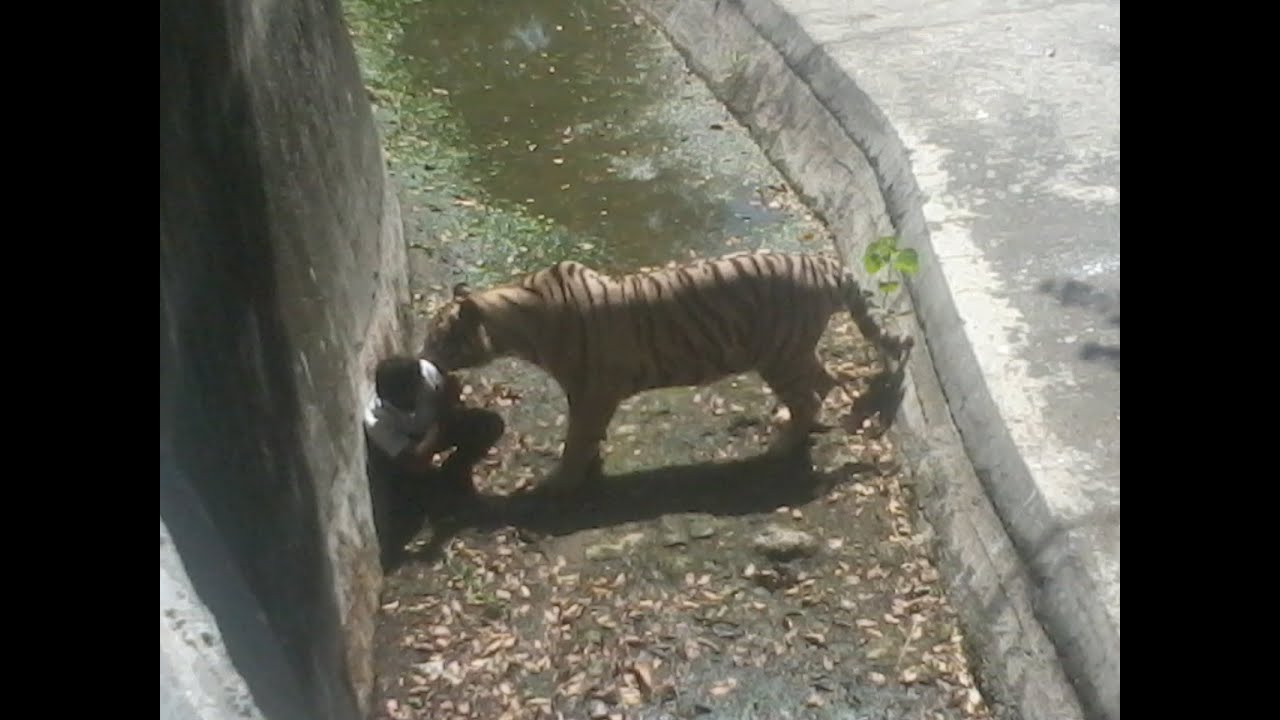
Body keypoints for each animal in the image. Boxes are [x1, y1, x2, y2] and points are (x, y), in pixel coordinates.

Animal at [420, 250, 909, 492]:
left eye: (439, 338)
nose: (422, 356)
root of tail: (827, 264)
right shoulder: (588, 394)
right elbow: (585, 438)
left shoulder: (592, 391)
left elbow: (577, 438)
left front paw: (560, 483)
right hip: (791, 352)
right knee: (821, 382)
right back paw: (792, 423)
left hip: (779, 354)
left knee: (811, 391)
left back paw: (780, 446)